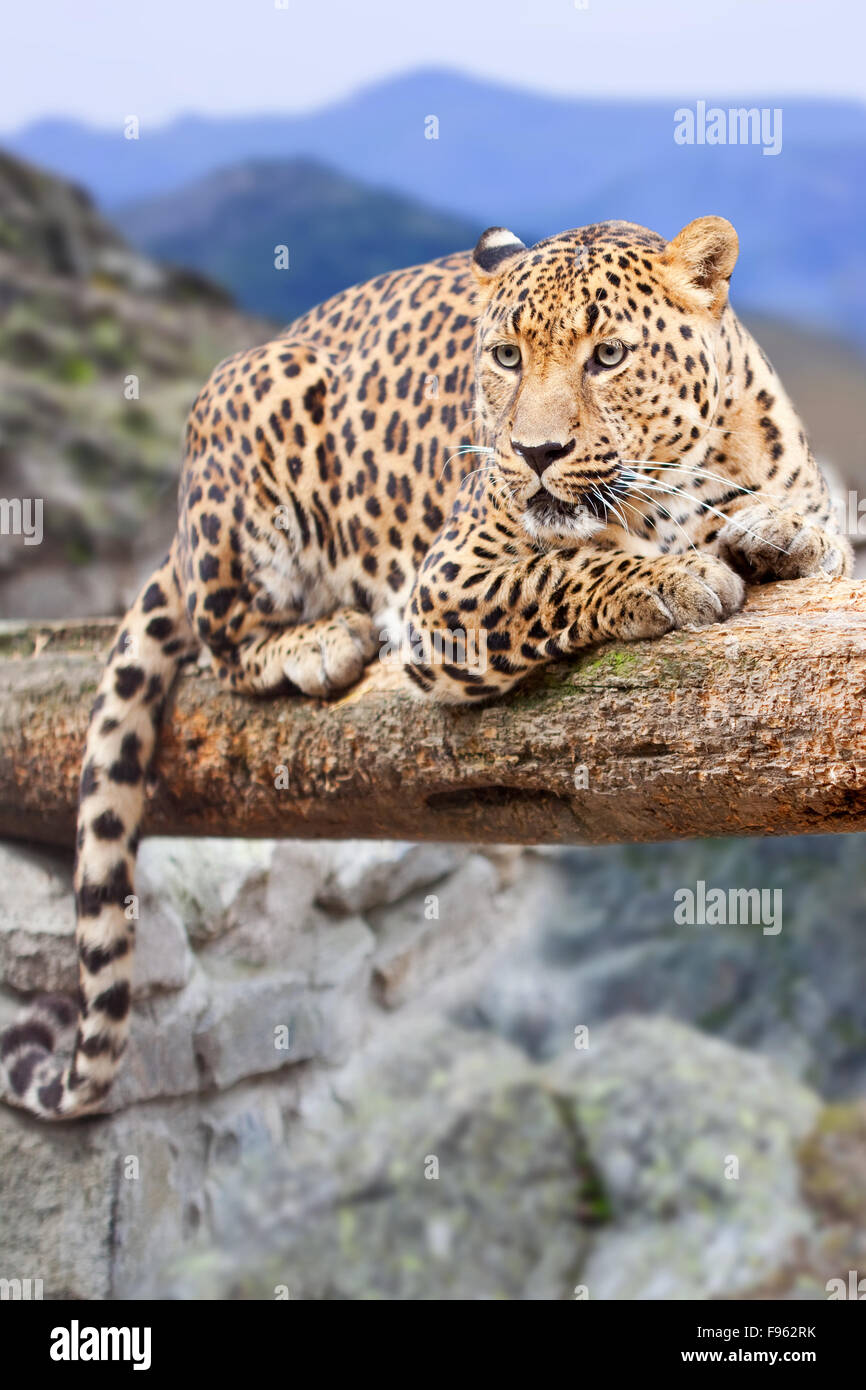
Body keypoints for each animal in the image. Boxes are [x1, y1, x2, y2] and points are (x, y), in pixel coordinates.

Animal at [0, 214, 850, 1120]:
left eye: (609, 355)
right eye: (507, 356)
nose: (535, 451)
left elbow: (809, 534)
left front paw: (778, 532)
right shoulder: (448, 586)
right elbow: (567, 570)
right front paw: (671, 575)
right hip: (257, 407)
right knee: (222, 629)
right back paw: (316, 641)